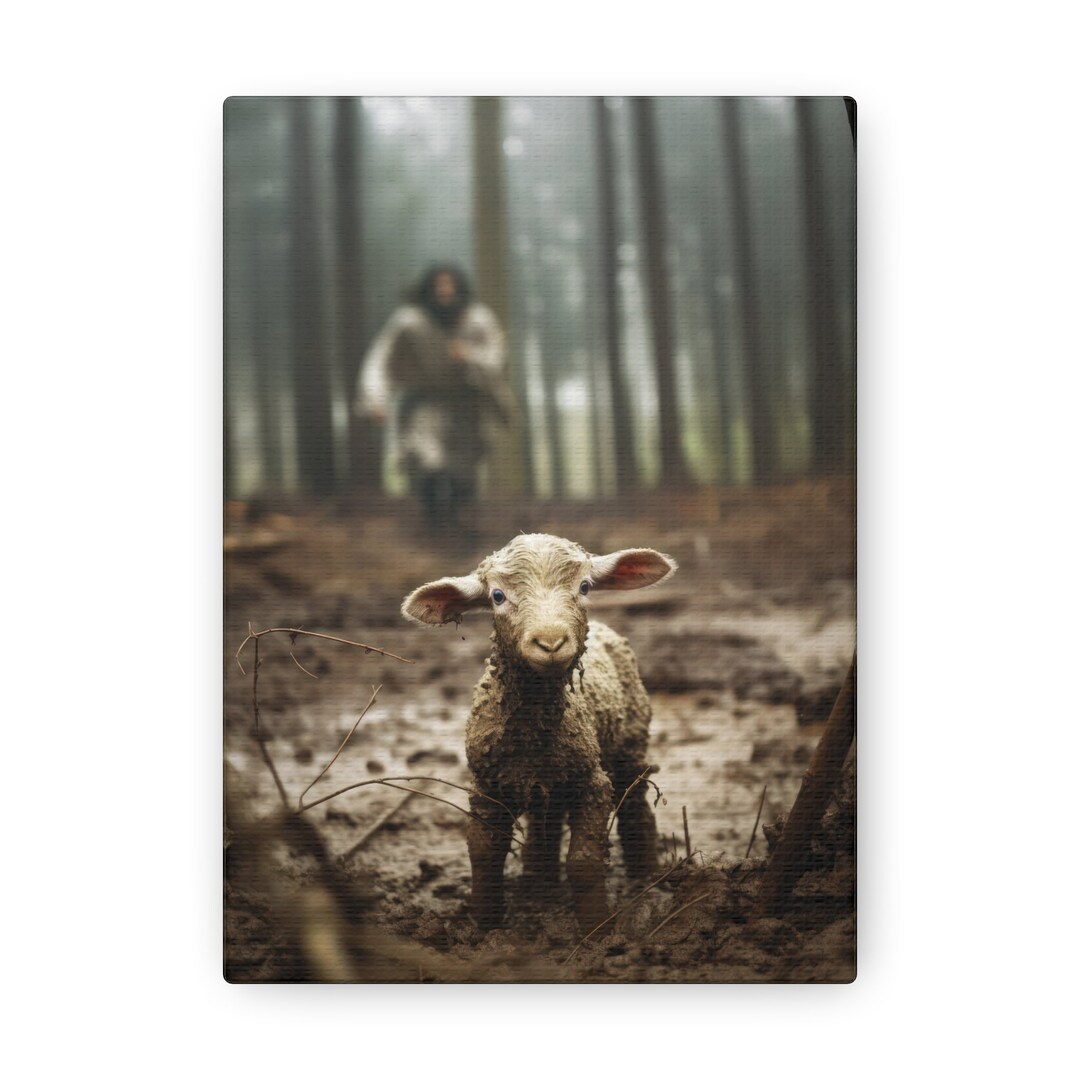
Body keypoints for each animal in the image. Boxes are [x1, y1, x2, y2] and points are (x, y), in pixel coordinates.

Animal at [402, 533, 677, 934]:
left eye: (584, 586)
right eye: (497, 596)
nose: (550, 643)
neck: (533, 730)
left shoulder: (592, 783)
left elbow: (583, 862)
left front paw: (597, 930)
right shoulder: (487, 787)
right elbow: (483, 854)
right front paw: (483, 926)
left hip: (630, 741)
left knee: (635, 799)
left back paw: (647, 877)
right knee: (546, 818)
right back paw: (538, 882)